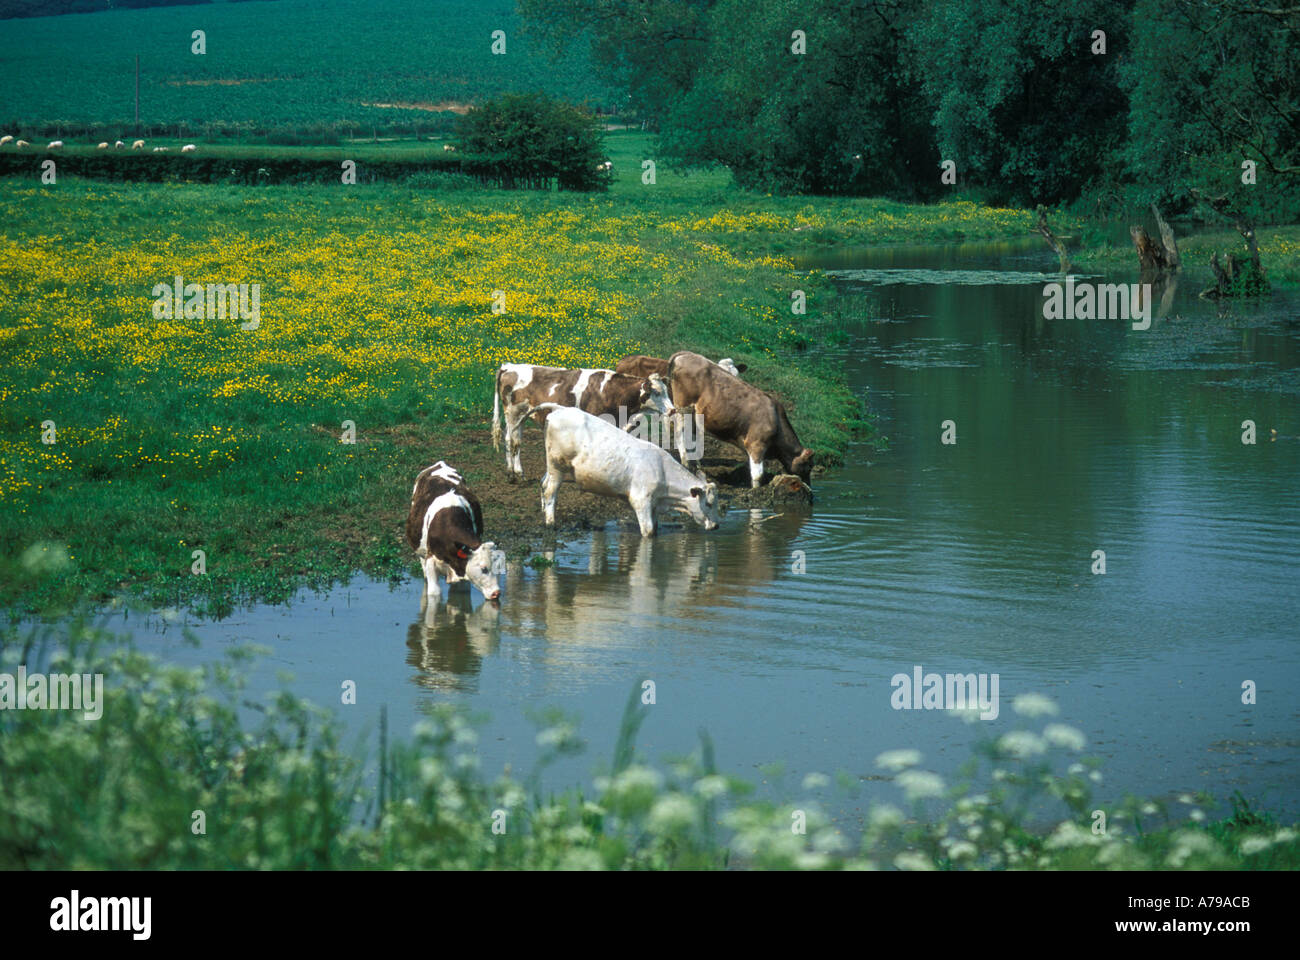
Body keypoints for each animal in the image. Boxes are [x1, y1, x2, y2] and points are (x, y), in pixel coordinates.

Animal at [405, 461, 501, 601]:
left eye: (498, 567)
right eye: (484, 569)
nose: (496, 593)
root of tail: (439, 463)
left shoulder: (461, 569)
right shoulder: (431, 562)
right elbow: (434, 593)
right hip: (421, 551)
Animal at [491, 364, 674, 480]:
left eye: (666, 391)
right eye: (657, 392)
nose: (672, 410)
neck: (610, 392)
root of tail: (508, 366)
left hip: (520, 417)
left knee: (510, 439)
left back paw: (511, 471)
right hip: (513, 414)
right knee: (513, 440)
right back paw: (516, 473)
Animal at [537, 404, 722, 537]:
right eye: (708, 503)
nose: (716, 525)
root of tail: (560, 409)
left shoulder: (654, 504)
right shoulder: (641, 500)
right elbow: (648, 532)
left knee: (543, 484)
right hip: (557, 466)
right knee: (550, 491)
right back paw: (550, 522)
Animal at [666, 350, 814, 488]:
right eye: (808, 466)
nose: (808, 485)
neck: (776, 419)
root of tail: (686, 354)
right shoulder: (756, 443)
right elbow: (758, 474)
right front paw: (756, 491)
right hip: (683, 408)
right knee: (679, 433)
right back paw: (686, 462)